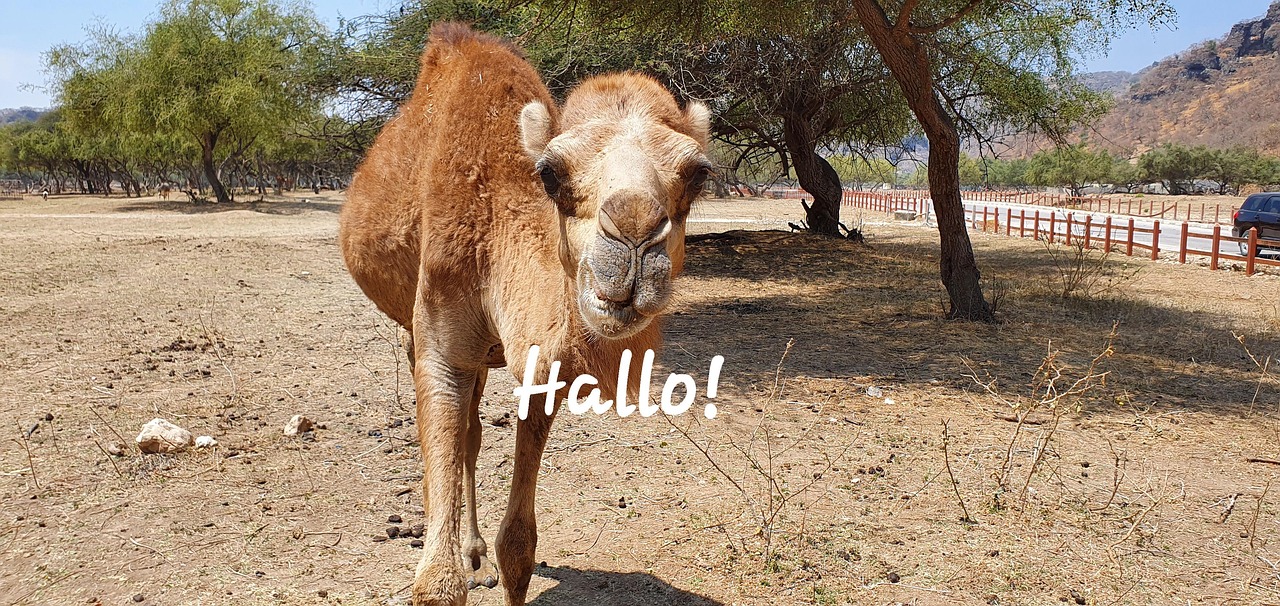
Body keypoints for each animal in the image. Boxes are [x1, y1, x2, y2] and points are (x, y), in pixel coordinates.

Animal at [338, 23, 711, 606]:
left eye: (697, 175)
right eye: (551, 174)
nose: (631, 237)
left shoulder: (543, 366)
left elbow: (518, 546)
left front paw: (494, 556)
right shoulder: (441, 340)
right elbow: (436, 581)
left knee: (471, 434)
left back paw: (474, 551)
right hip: (413, 330)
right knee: (456, 432)